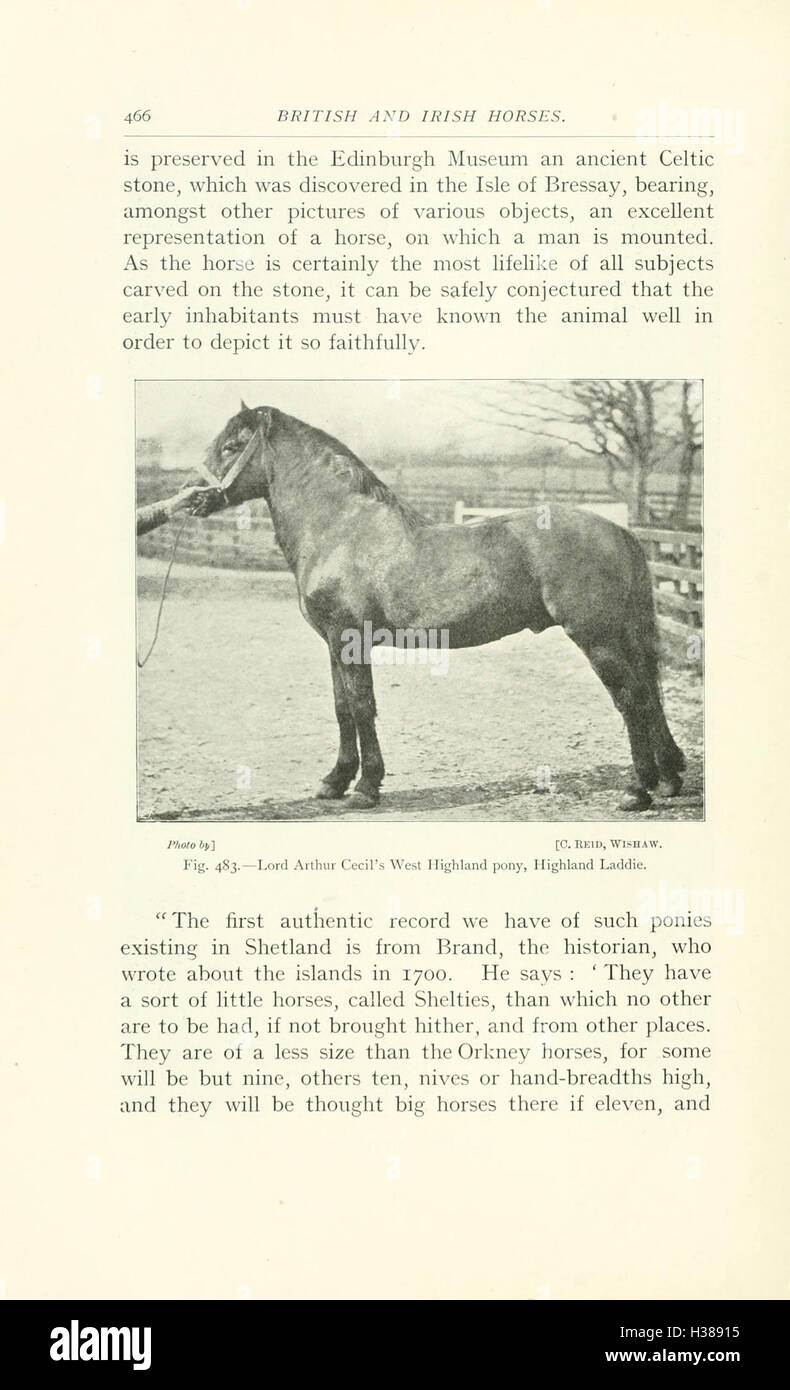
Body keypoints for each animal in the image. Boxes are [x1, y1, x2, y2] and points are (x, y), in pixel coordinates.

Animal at [191, 401, 685, 813]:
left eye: (232, 446)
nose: (191, 494)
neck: (340, 528)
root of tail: (620, 532)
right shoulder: (335, 644)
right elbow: (342, 707)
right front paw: (334, 781)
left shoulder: (351, 640)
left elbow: (362, 706)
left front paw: (366, 788)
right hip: (621, 635)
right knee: (649, 692)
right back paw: (669, 779)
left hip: (598, 637)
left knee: (632, 699)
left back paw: (637, 791)